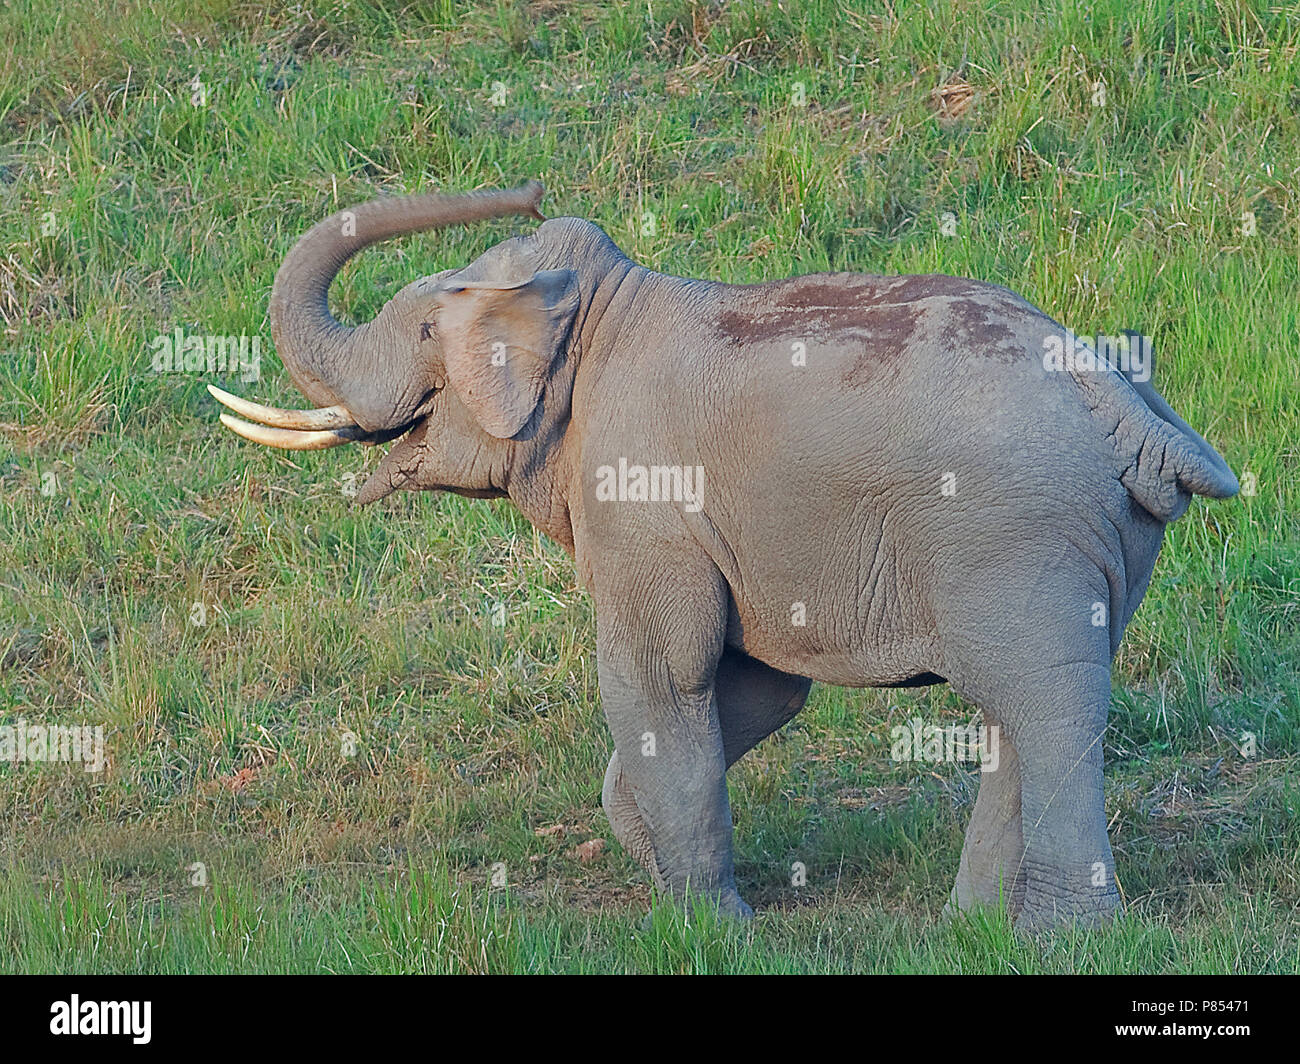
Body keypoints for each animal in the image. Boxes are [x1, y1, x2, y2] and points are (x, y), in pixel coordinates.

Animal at [211, 181, 1238, 930]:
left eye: (427, 330)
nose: (530, 192)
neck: (602, 304)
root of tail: (1125, 400)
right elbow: (757, 688)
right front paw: (668, 873)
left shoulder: (642, 504)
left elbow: (660, 676)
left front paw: (711, 928)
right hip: (1093, 540)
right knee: (1025, 702)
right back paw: (972, 930)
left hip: (1014, 530)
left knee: (1045, 700)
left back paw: (1058, 939)